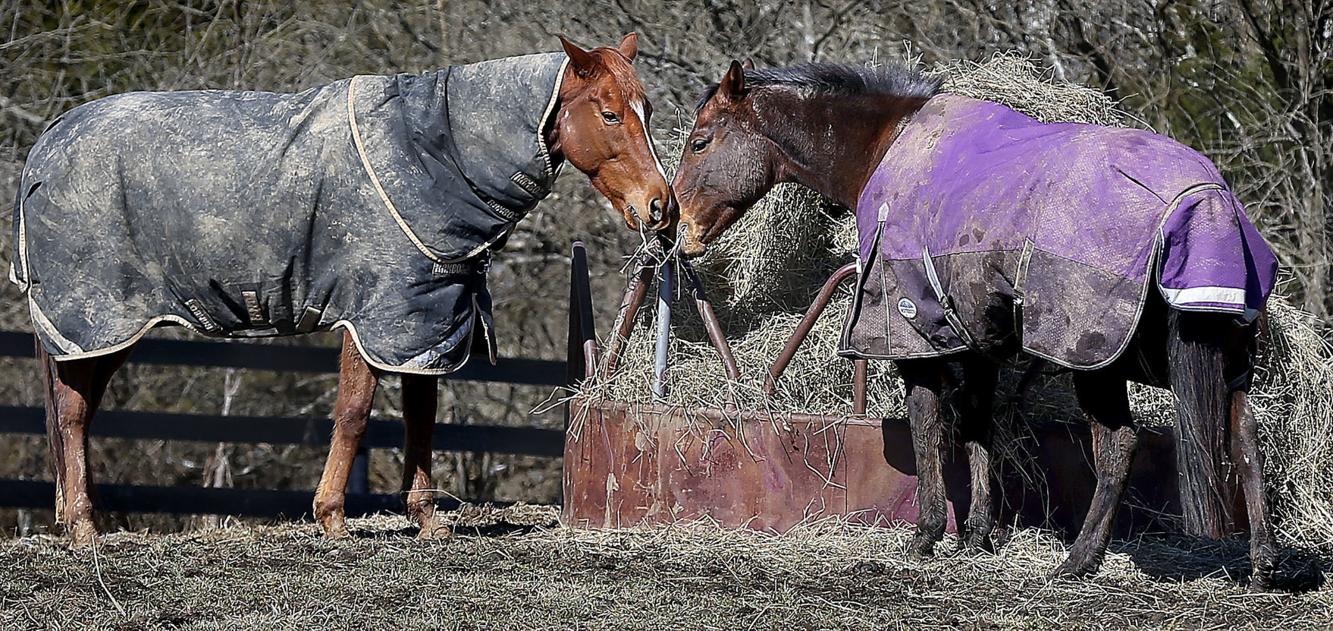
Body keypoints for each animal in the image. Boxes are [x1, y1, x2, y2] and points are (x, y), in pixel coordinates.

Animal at [12, 33, 674, 544]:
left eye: (644, 107)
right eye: (609, 113)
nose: (660, 206)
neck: (433, 153)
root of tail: (45, 148)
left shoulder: (422, 323)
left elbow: (422, 415)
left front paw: (427, 519)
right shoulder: (374, 316)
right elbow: (355, 415)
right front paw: (331, 518)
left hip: (95, 335)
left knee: (75, 411)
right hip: (97, 323)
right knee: (72, 415)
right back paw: (83, 527)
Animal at [668, 60, 1278, 588]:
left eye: (700, 142)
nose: (676, 226)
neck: (887, 146)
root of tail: (1206, 202)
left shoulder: (914, 336)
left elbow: (928, 425)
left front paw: (926, 536)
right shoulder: (977, 338)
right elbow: (979, 428)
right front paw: (977, 535)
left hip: (1098, 362)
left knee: (1119, 446)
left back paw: (1078, 561)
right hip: (1210, 362)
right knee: (1244, 438)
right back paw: (1264, 566)